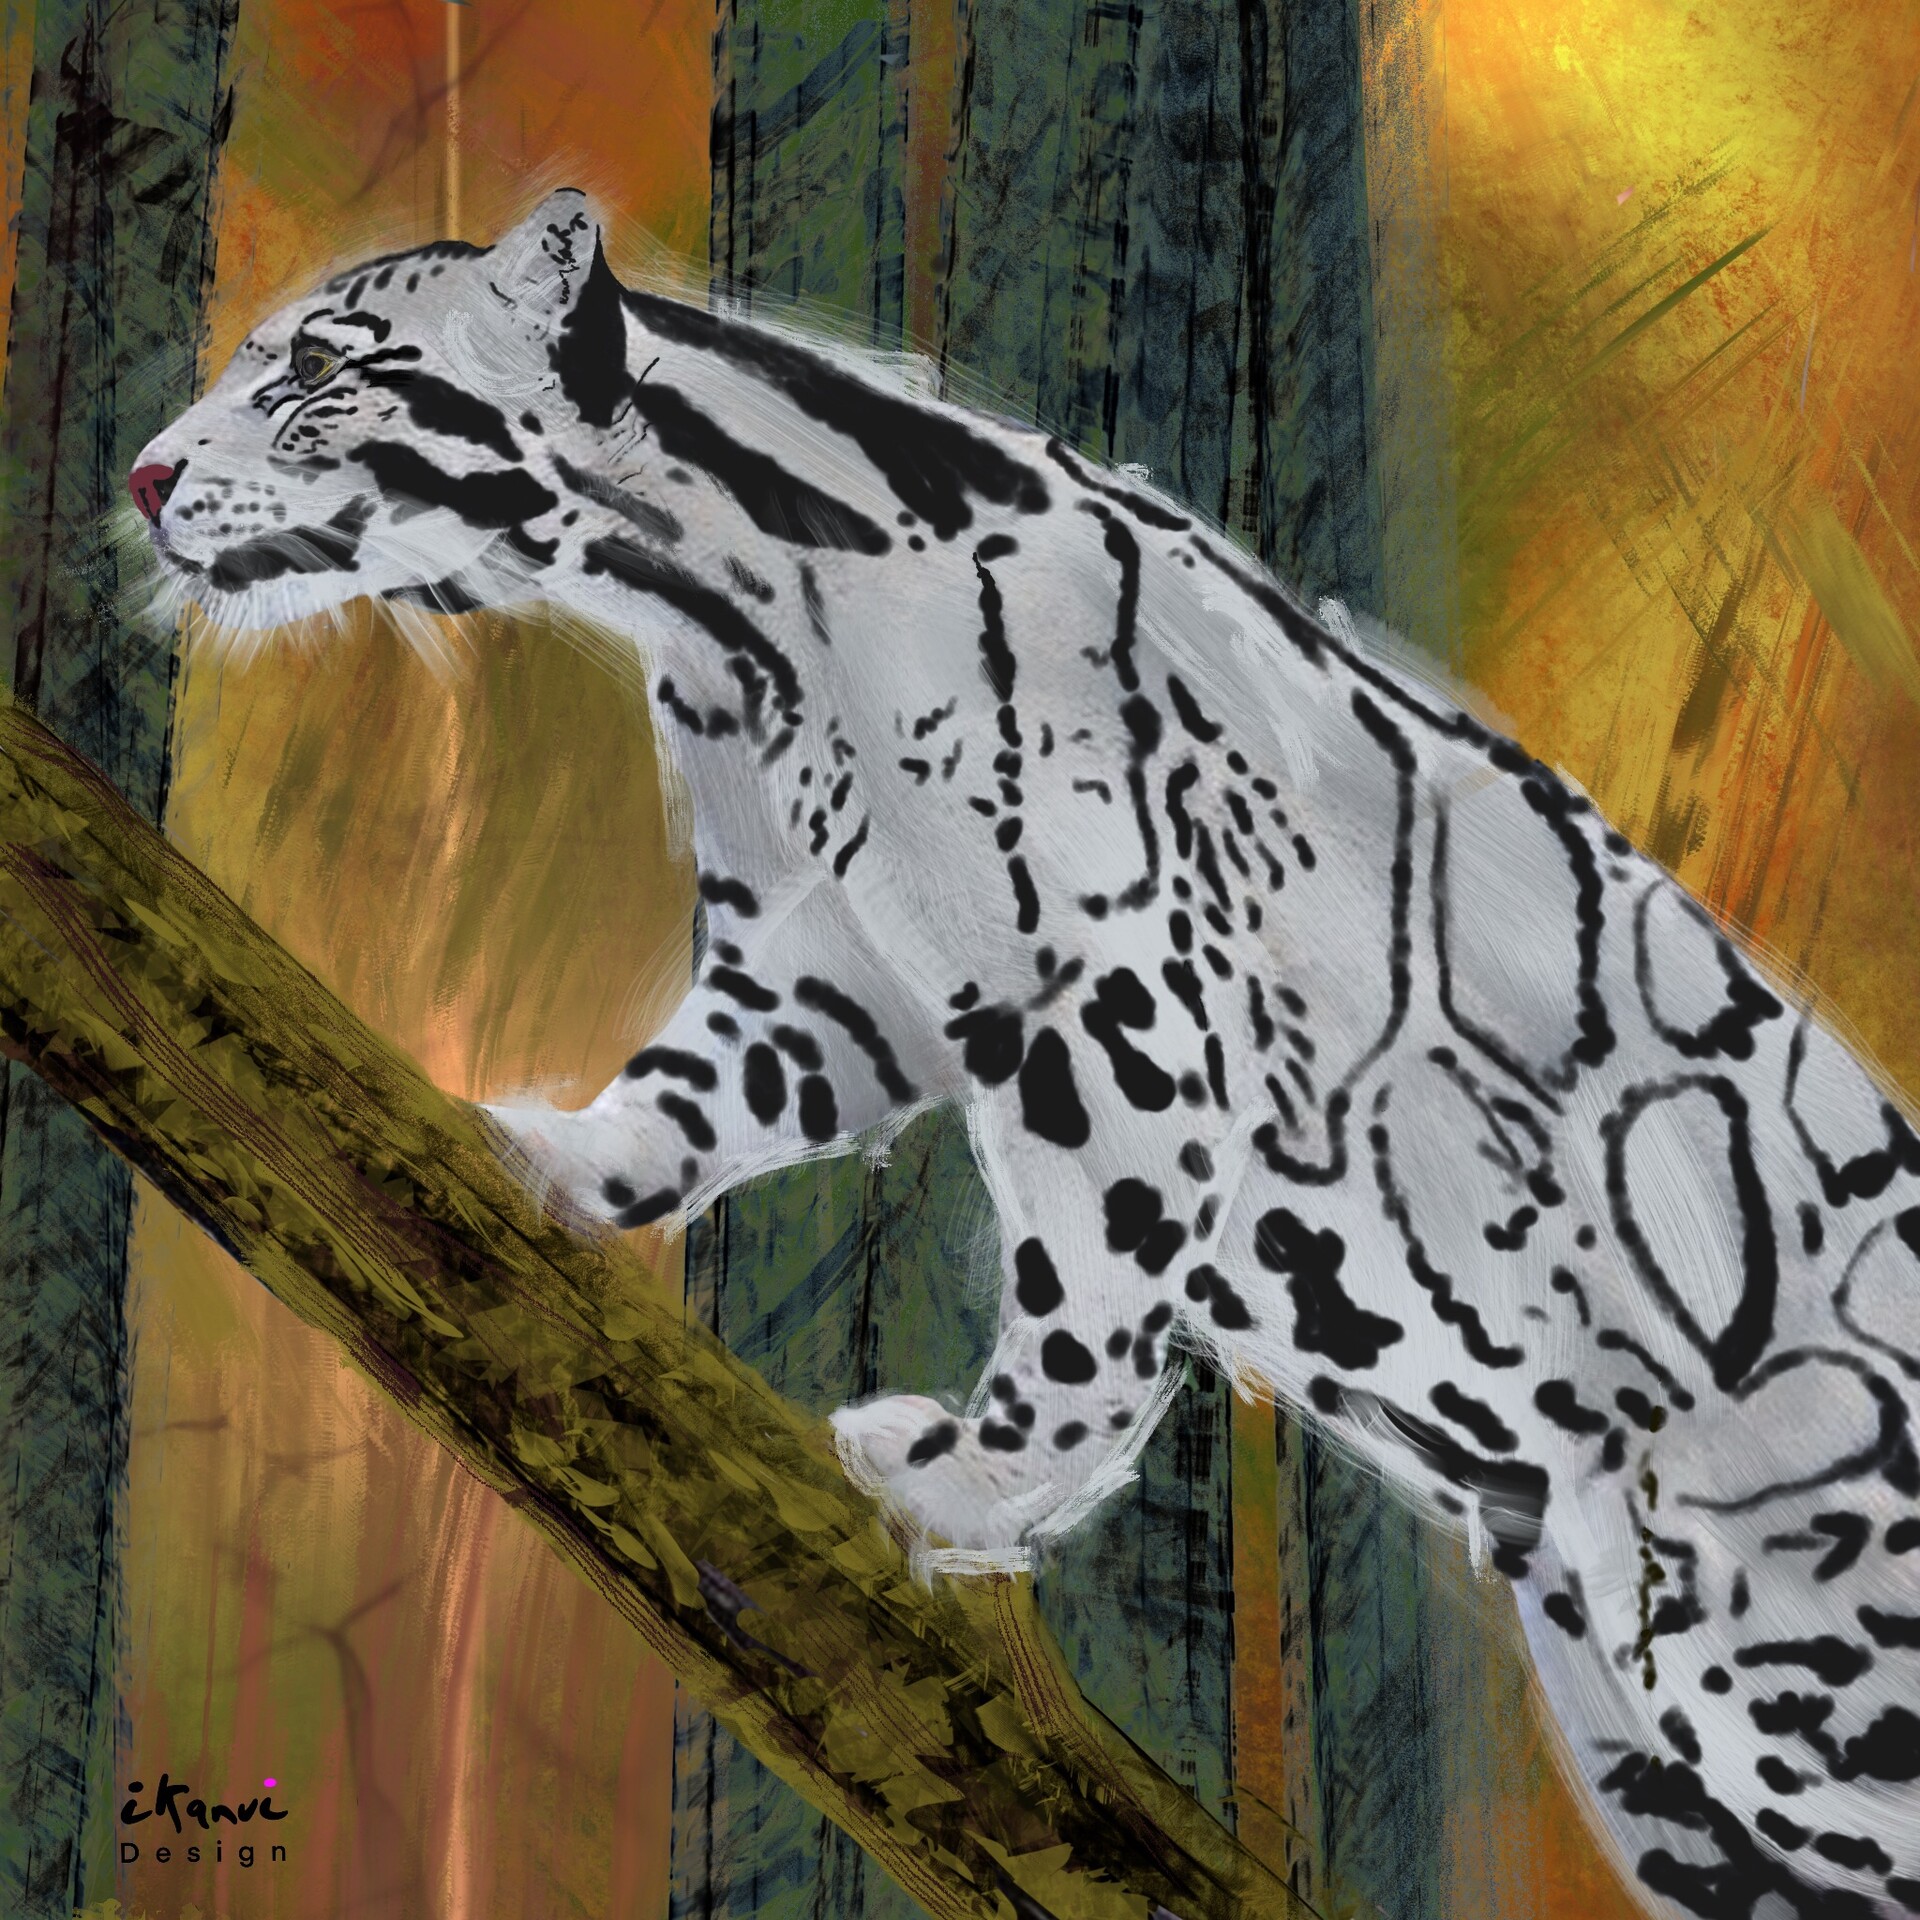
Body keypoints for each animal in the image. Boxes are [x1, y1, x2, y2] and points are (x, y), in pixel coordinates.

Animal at [130, 189, 1920, 1918]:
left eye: (319, 368)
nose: (143, 475)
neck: (731, 632)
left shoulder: (1111, 1011)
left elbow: (1088, 1293)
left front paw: (973, 1487)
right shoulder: (832, 971)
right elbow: (702, 1086)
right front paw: (556, 1154)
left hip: (1787, 1672)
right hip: (1668, 1777)